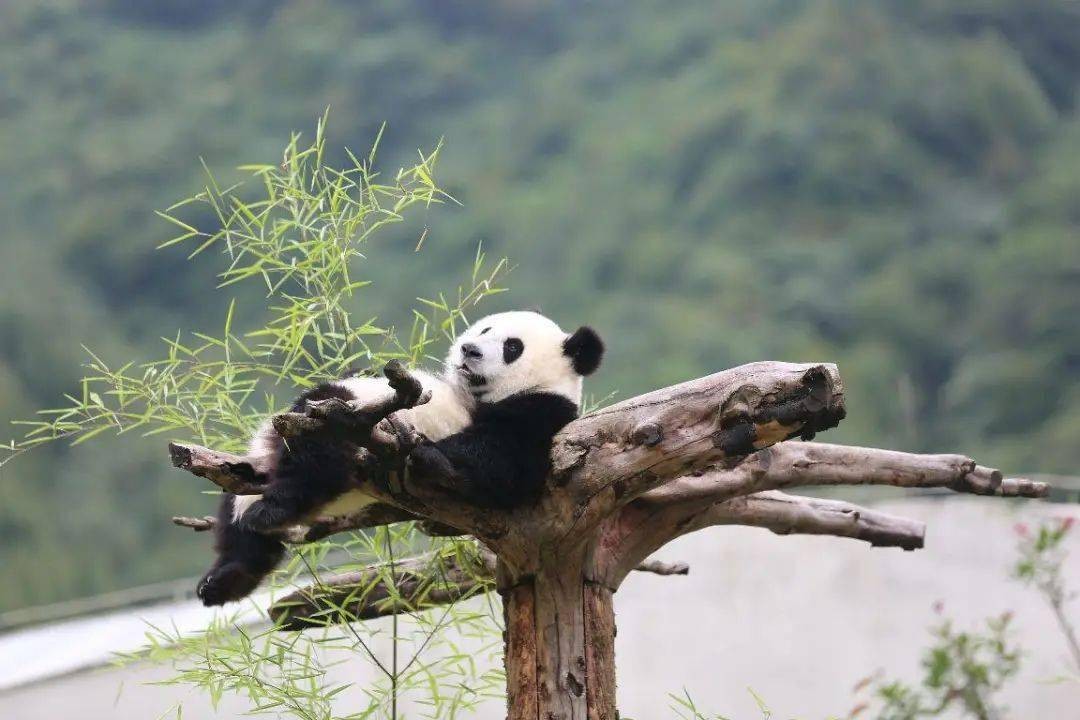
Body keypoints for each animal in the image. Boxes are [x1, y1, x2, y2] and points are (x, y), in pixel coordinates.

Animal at [196, 310, 604, 606]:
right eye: (485, 328)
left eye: (512, 347)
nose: (470, 350)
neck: (476, 396)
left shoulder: (540, 413)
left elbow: (504, 463)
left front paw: (435, 459)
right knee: (240, 512)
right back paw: (225, 577)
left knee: (317, 460)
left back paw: (272, 511)